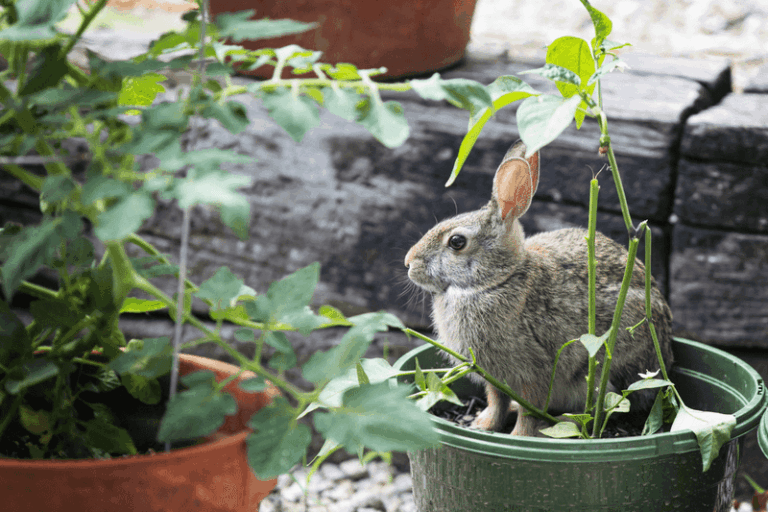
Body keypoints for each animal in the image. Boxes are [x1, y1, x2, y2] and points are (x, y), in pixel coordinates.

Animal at [404, 140, 674, 436]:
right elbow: (496, 401)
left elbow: (529, 410)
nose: (408, 263)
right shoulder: (494, 377)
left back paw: (562, 425)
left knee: (604, 406)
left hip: (607, 366)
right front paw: (483, 426)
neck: (497, 280)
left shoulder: (534, 371)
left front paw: (518, 436)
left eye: (456, 242)